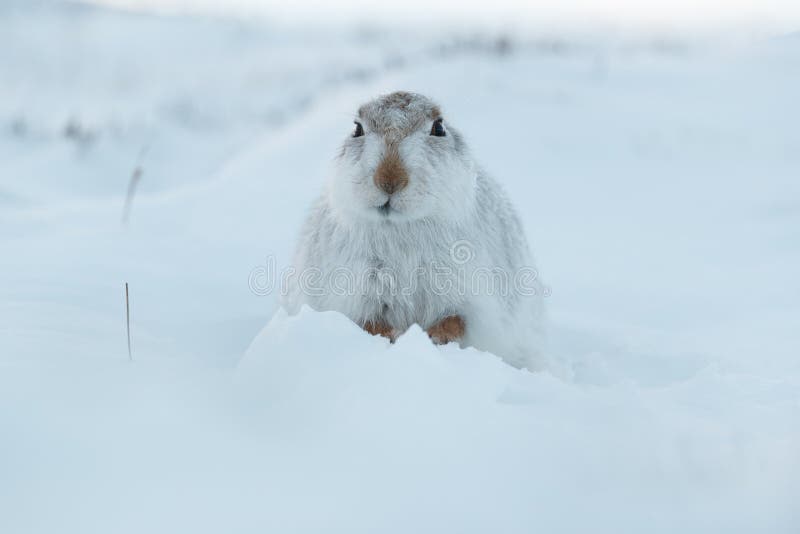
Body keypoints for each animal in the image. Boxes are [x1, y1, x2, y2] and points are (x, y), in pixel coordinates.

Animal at [284, 91, 546, 370]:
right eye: (357, 129)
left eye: (439, 128)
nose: (389, 180)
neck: (401, 226)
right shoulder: (361, 296)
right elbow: (374, 325)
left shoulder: (468, 298)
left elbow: (455, 322)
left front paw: (432, 338)